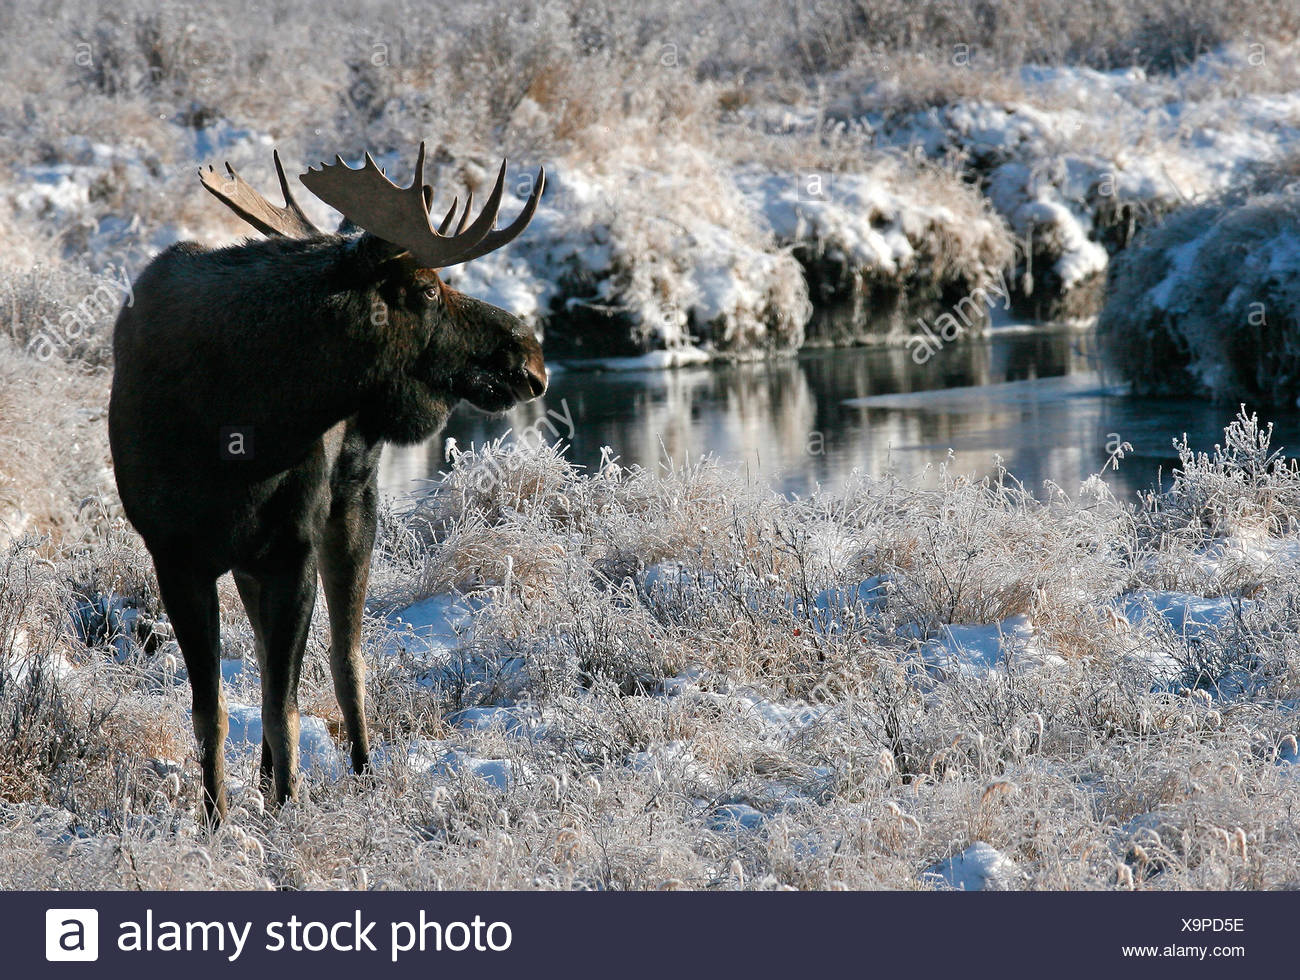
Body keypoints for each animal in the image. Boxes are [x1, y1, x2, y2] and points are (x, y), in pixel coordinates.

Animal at [108, 145, 546, 824]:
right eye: (427, 288)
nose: (532, 360)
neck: (239, 420)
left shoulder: (293, 547)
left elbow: (283, 707)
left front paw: (287, 809)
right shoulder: (176, 555)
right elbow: (212, 711)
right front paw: (216, 819)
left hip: (351, 509)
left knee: (347, 660)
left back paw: (362, 777)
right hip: (256, 559)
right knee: (273, 662)